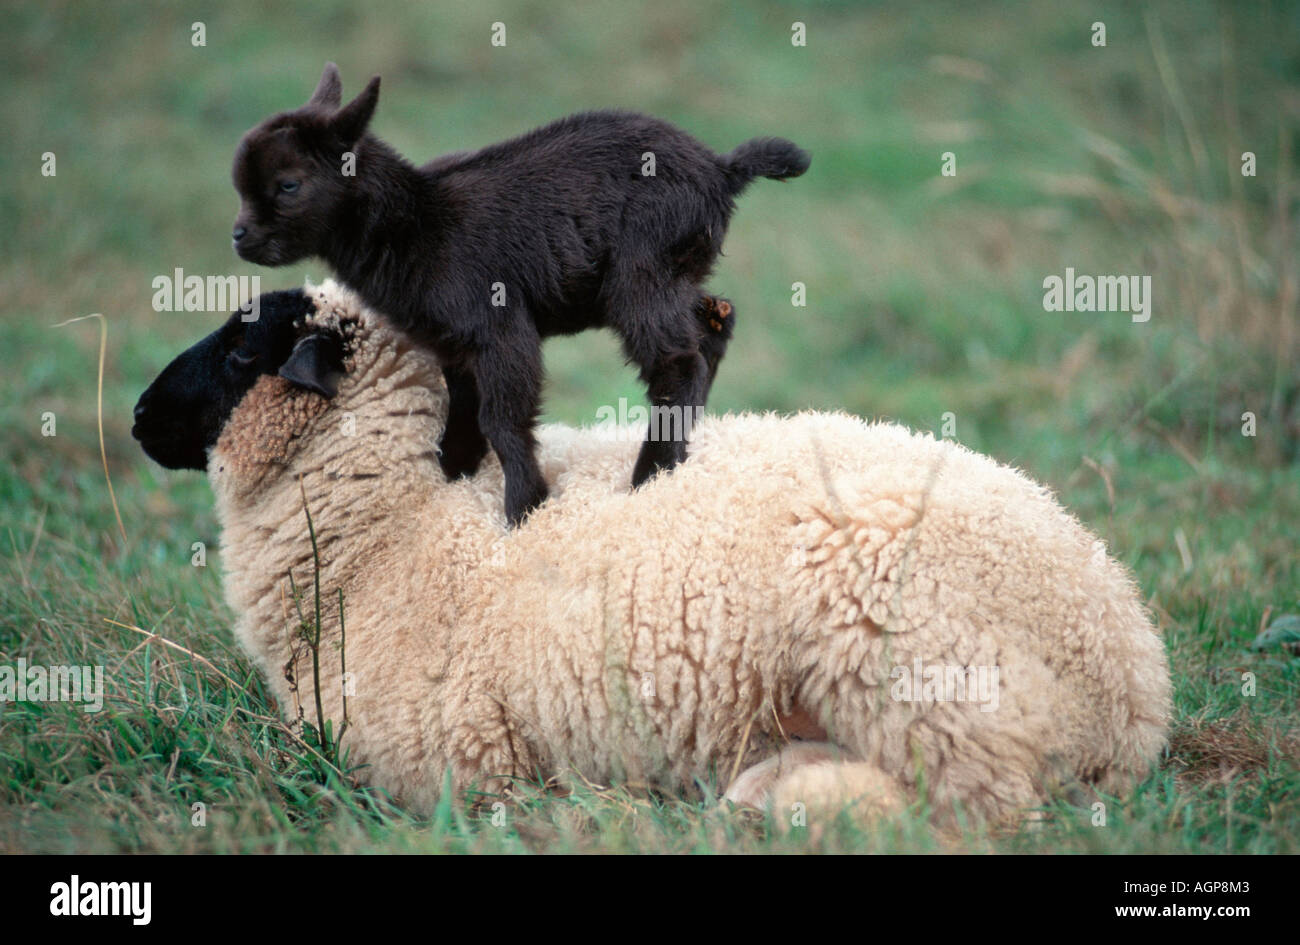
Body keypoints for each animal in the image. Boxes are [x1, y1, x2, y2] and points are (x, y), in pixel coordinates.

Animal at [132, 280, 1172, 825]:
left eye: (242, 351)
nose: (138, 416)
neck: (398, 523)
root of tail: (1132, 677)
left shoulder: (450, 766)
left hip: (917, 661)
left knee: (973, 806)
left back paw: (782, 806)